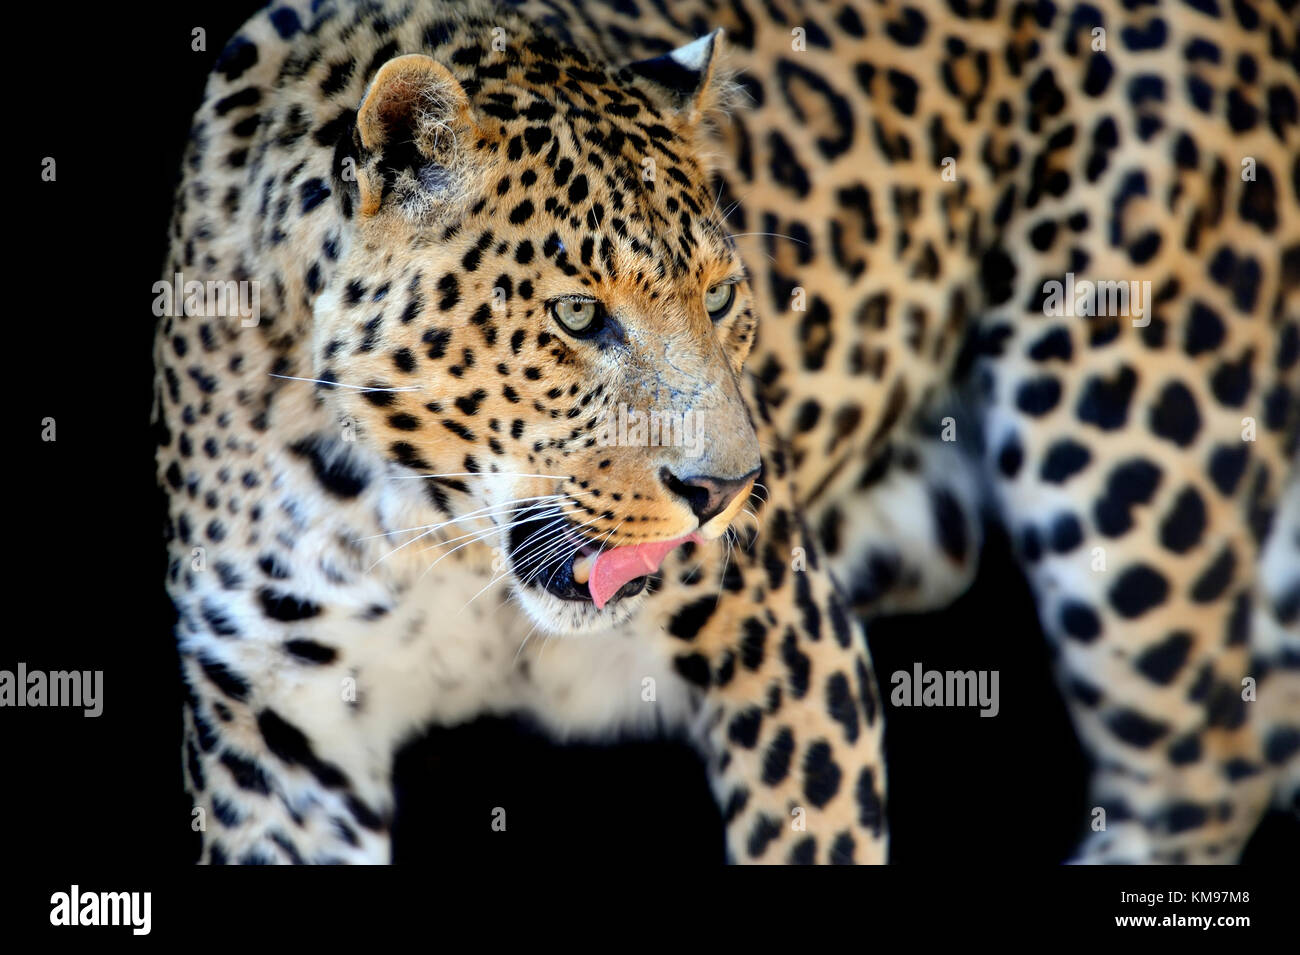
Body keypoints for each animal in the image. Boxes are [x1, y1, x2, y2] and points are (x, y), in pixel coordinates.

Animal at [156, 0, 1299, 864]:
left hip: (1120, 437)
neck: (437, 532)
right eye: (578, 315)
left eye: (718, 296)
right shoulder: (278, 735)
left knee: (1200, 759)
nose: (724, 493)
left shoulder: (789, 643)